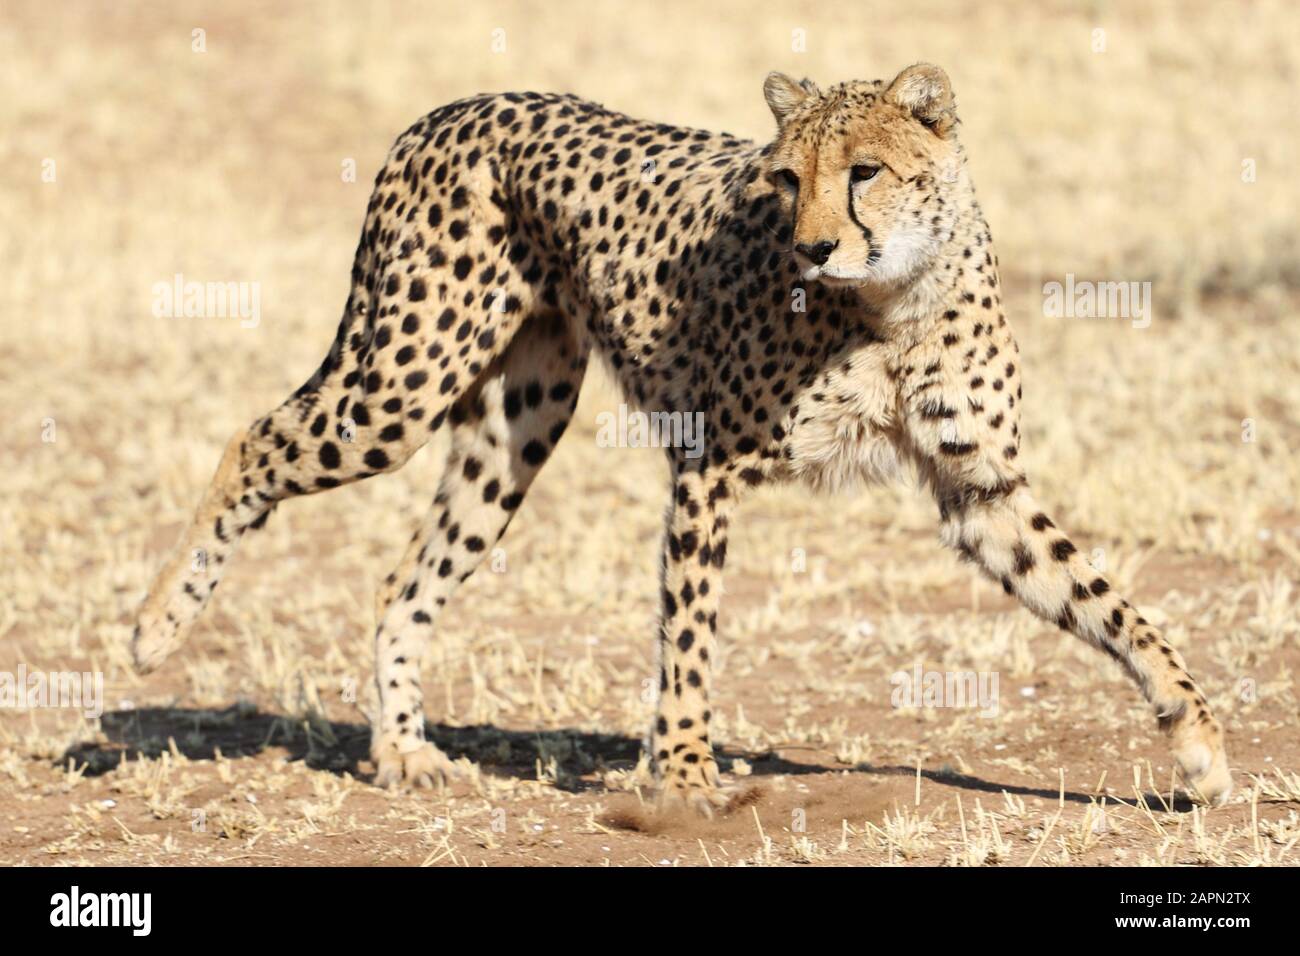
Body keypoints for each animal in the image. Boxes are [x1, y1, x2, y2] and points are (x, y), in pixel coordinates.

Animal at [132, 63, 1233, 813]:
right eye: (785, 179)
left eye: (865, 172)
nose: (813, 246)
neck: (893, 303)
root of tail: (453, 107)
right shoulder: (713, 456)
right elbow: (690, 629)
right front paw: (688, 774)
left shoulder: (981, 490)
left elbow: (1107, 601)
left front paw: (1197, 740)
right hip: (400, 385)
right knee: (253, 441)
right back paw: (153, 628)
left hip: (516, 425)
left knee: (403, 577)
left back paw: (401, 750)